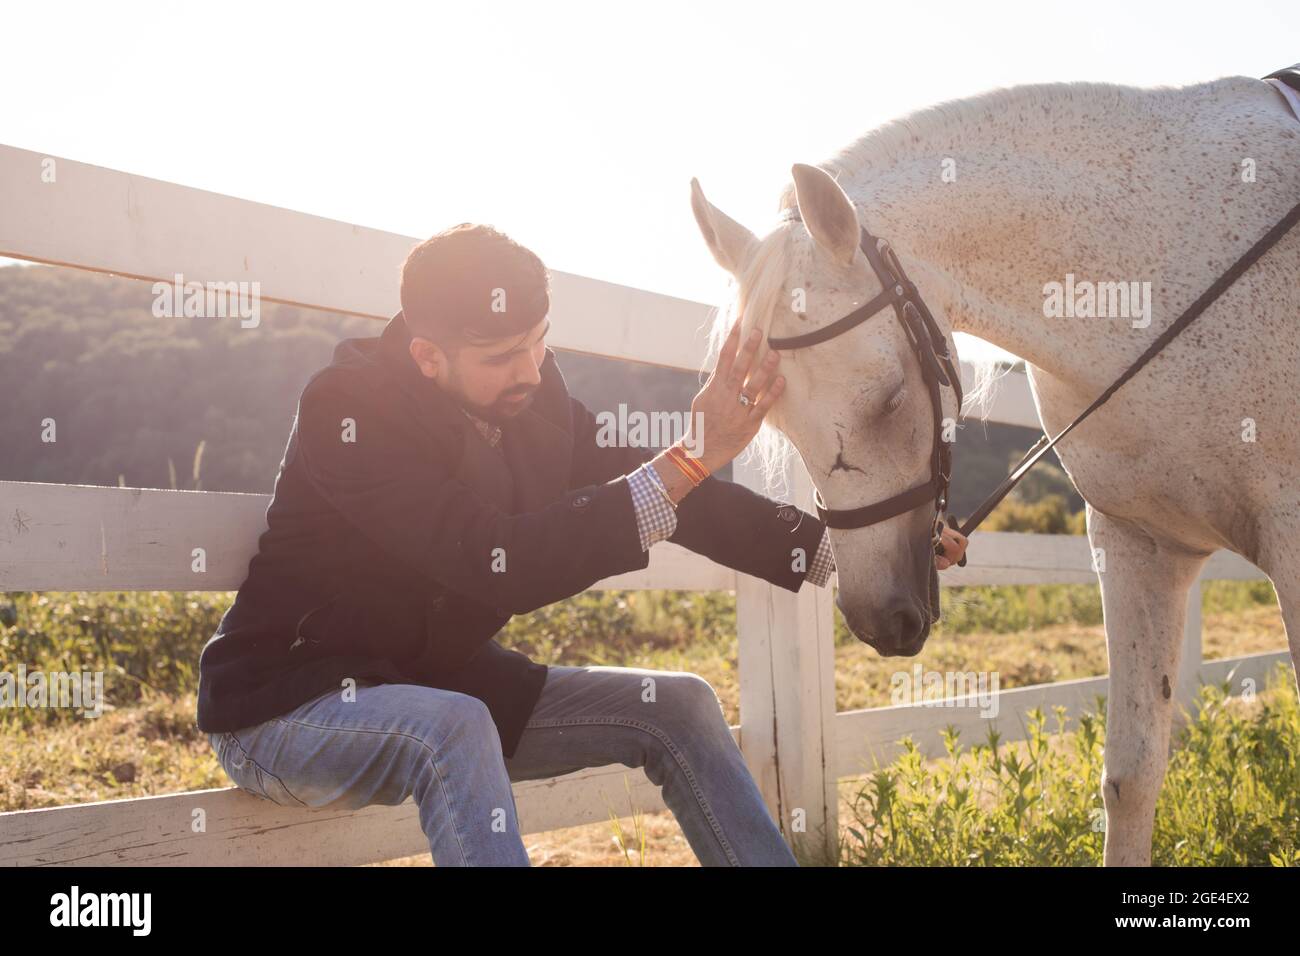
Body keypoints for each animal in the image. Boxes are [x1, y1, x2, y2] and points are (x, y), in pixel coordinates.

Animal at [688, 74, 1300, 866]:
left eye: (891, 399)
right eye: (776, 418)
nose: (880, 620)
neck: (1164, 275)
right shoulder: (1139, 545)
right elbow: (1131, 775)